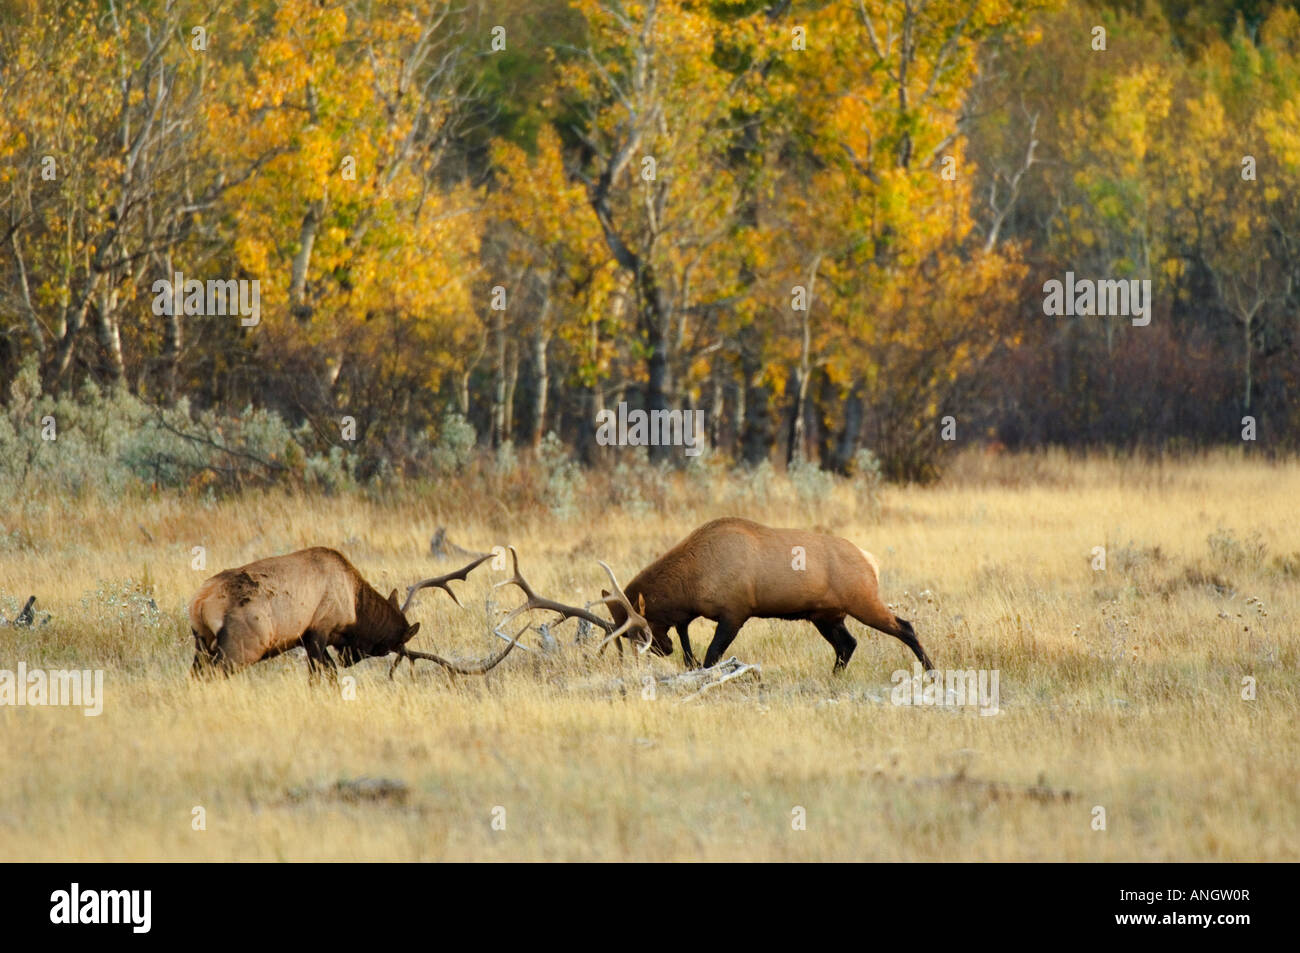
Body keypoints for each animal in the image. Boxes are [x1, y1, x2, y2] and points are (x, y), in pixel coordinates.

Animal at [188, 547, 520, 680]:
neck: (354, 605)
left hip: (201, 646)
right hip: (239, 647)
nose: (351, 658)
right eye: (385, 647)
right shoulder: (318, 631)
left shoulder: (310, 639)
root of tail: (199, 602)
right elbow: (327, 675)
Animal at [592, 517, 934, 674]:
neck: (691, 583)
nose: (662, 650)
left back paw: (931, 671)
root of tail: (870, 560)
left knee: (905, 626)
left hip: (863, 601)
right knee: (847, 644)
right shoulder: (688, 617)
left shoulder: (735, 612)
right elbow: (690, 652)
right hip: (825, 616)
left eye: (640, 629)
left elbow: (711, 655)